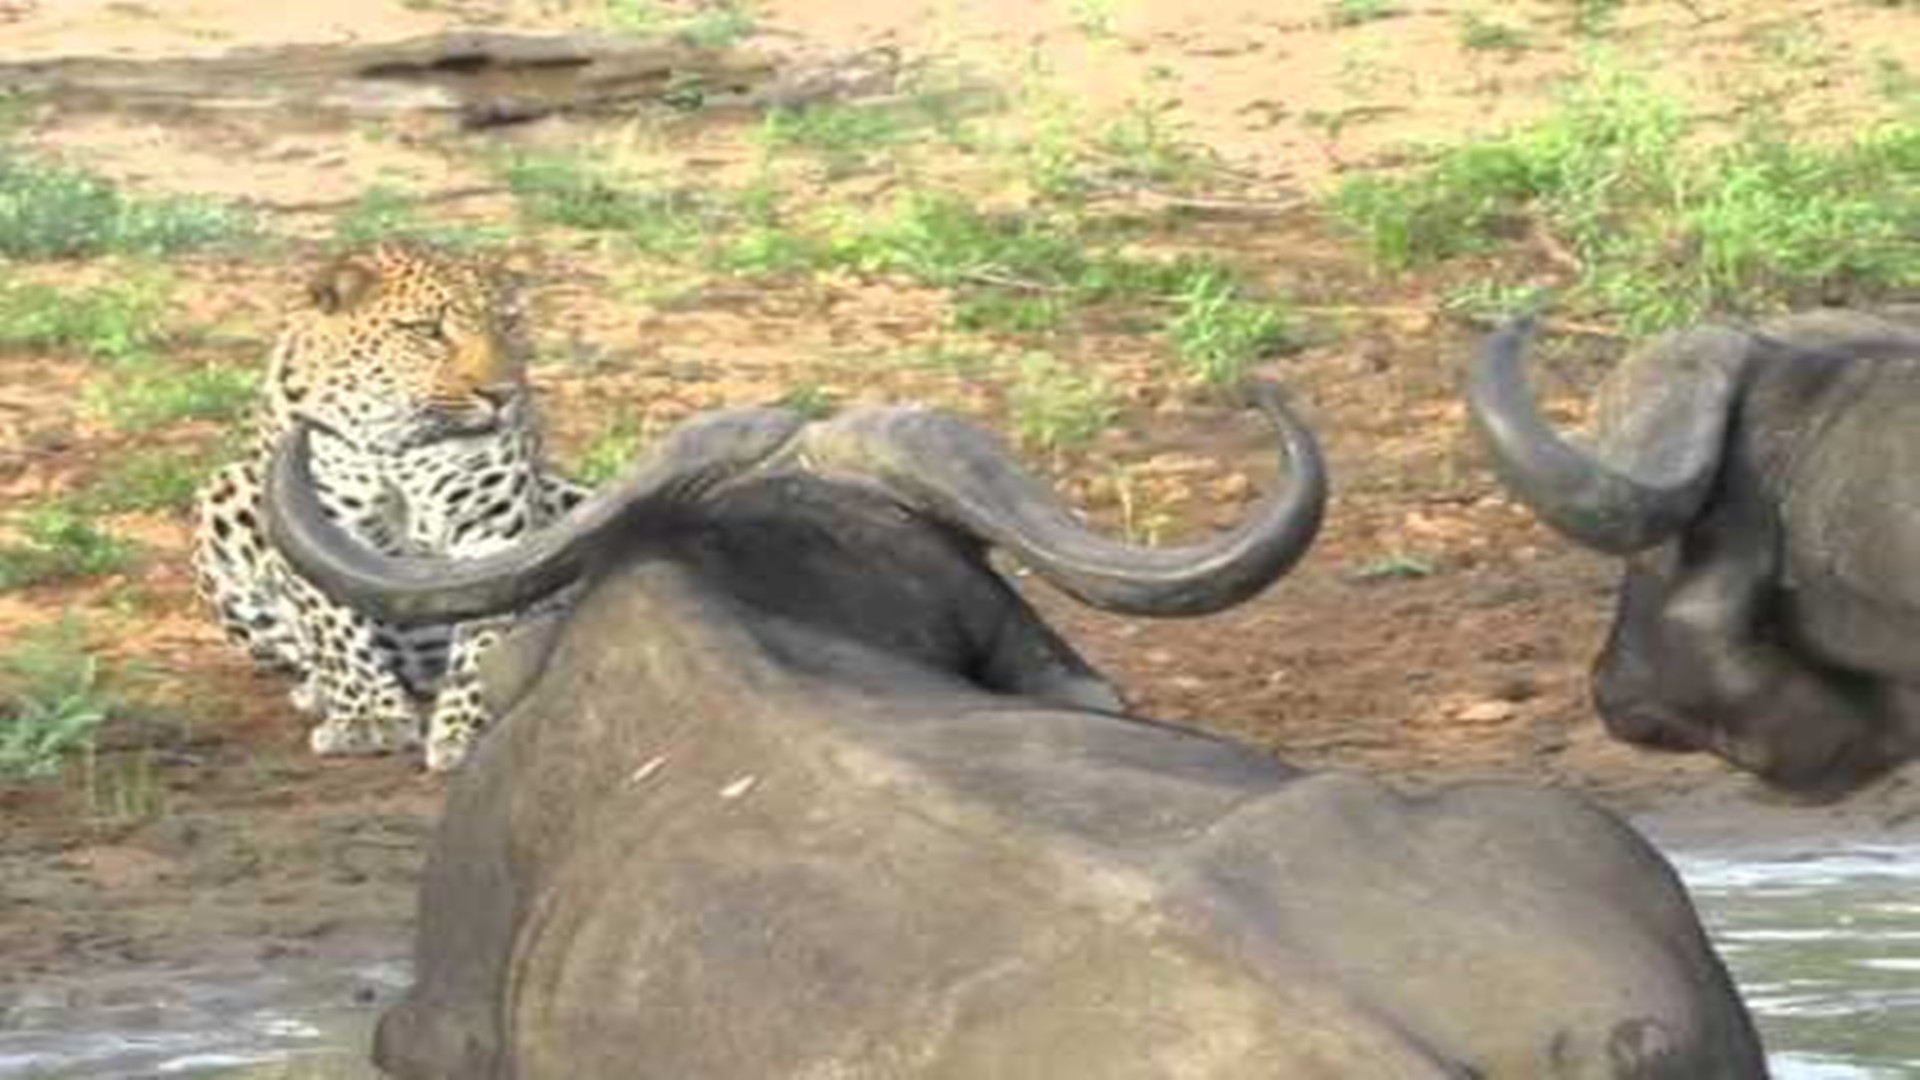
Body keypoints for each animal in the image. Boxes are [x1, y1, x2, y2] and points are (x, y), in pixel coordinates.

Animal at [192, 241, 588, 772]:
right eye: (427, 331)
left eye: (507, 324)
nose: (502, 394)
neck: (395, 442)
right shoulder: (313, 516)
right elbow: (332, 624)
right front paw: (368, 718)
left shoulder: (493, 529)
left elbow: (485, 634)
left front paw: (468, 727)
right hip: (226, 493)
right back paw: (321, 690)